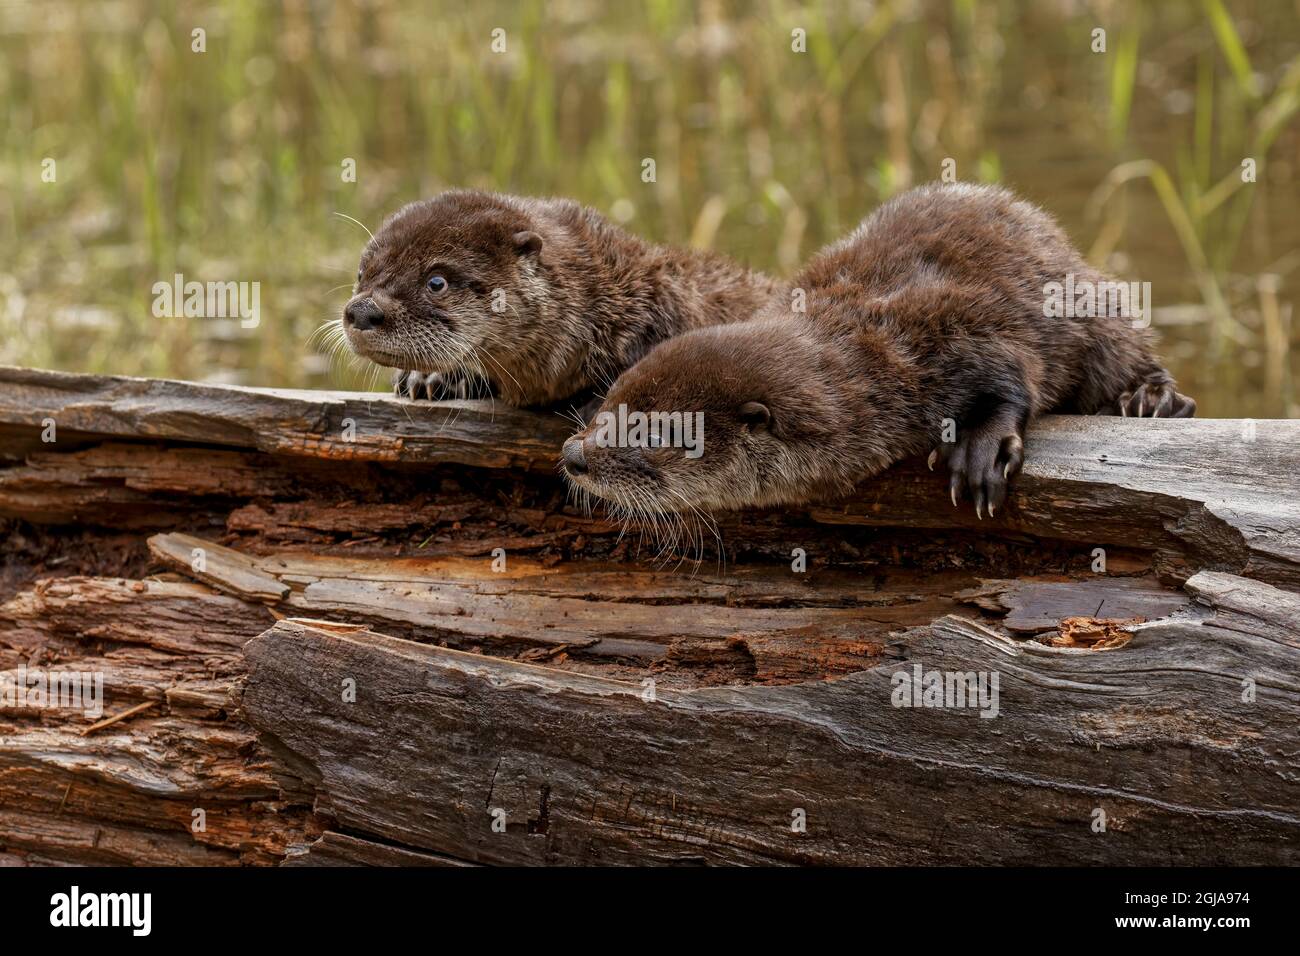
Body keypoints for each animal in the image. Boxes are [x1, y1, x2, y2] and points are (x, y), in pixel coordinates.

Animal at [561, 183, 1194, 519]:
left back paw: (1151, 399)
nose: (573, 455)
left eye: (658, 433)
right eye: (609, 405)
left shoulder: (948, 333)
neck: (871, 379)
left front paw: (980, 448)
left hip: (1092, 300)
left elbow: (1015, 371)